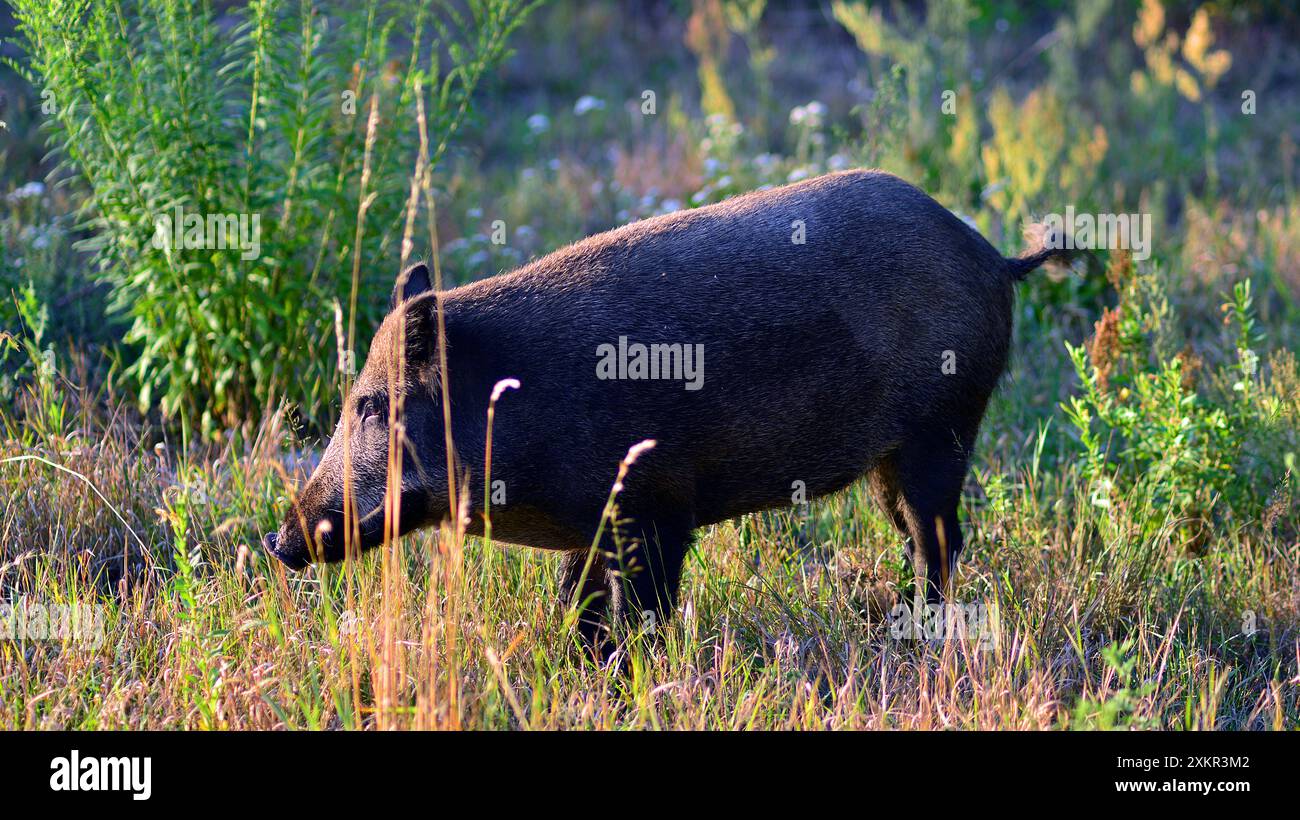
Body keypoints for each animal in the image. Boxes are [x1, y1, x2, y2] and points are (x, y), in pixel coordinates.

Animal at [264, 169, 1073, 647]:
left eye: (372, 407)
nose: (277, 542)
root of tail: (995, 257)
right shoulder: (595, 525)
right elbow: (577, 604)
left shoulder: (656, 503)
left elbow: (641, 607)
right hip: (896, 454)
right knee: (918, 533)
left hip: (943, 427)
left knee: (940, 537)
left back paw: (908, 632)